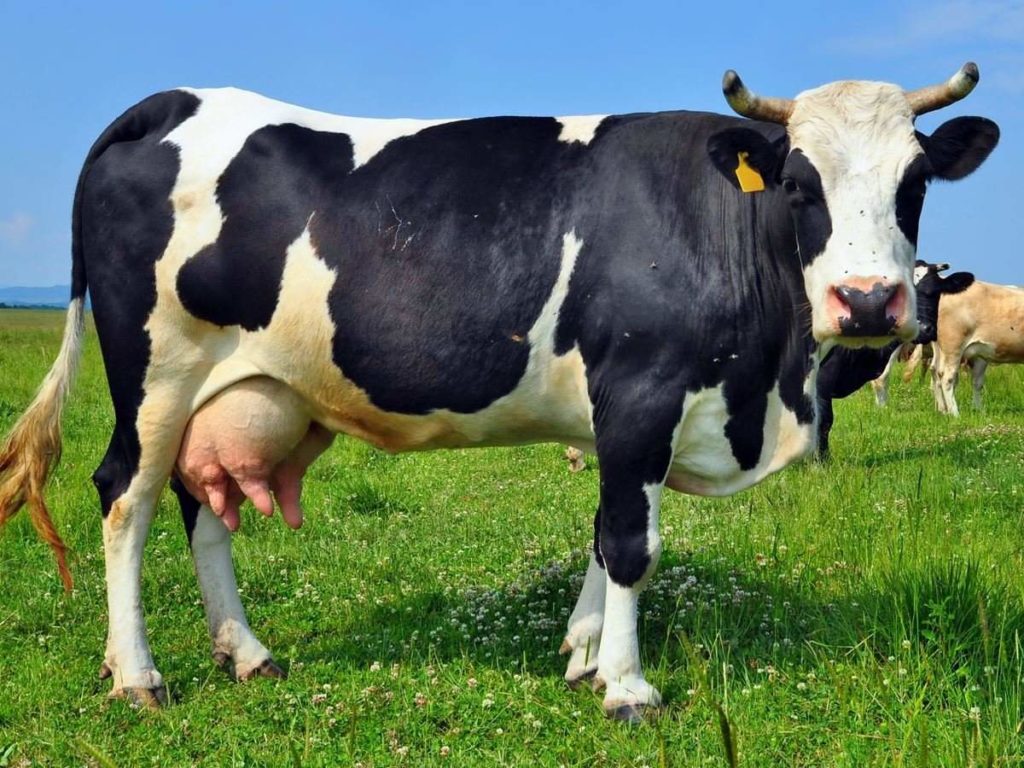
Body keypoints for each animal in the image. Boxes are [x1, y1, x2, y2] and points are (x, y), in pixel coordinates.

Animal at [931, 281, 1024, 415]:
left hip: (941, 349)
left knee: (936, 372)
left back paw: (944, 410)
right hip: (953, 346)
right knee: (947, 378)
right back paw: (955, 413)